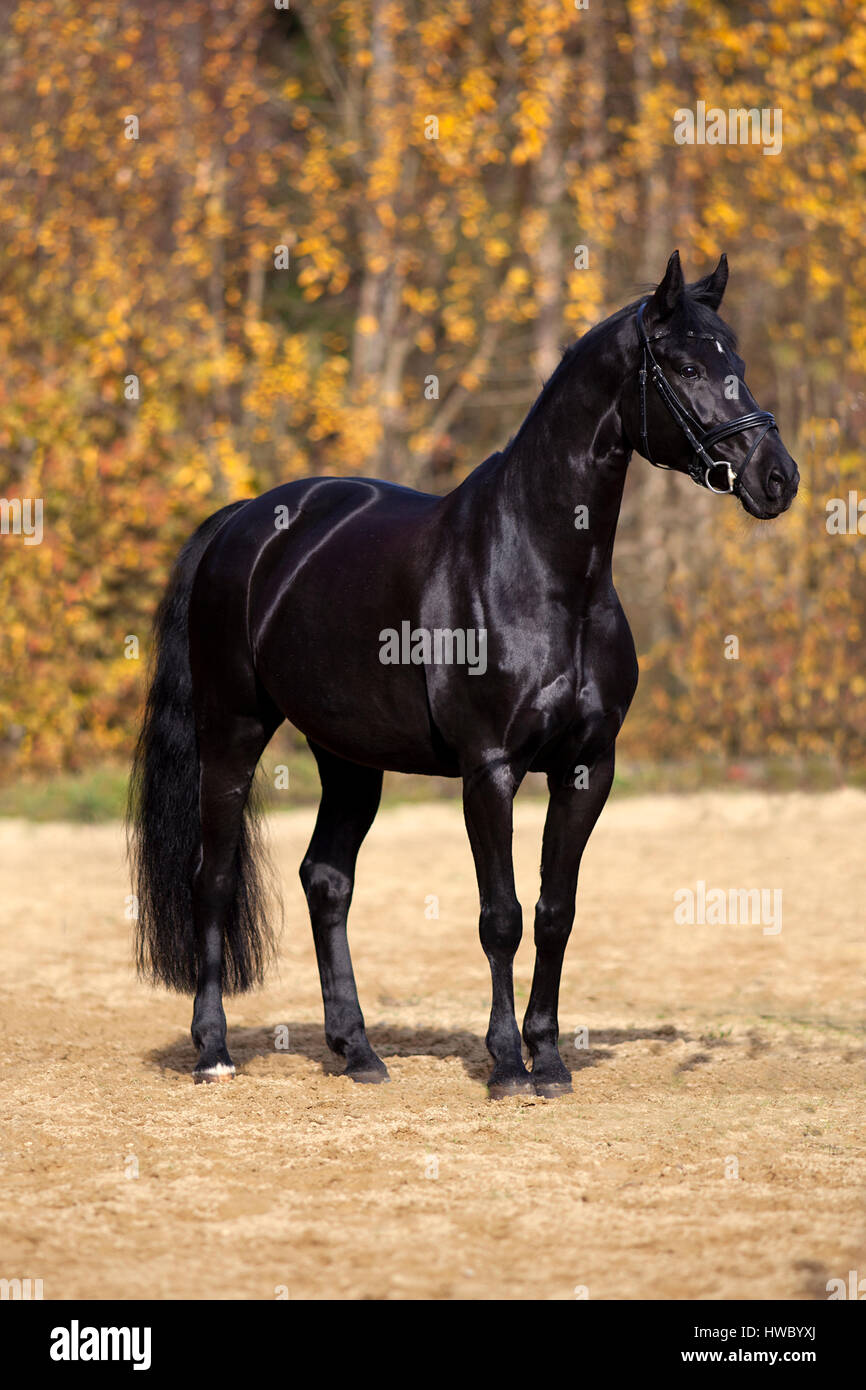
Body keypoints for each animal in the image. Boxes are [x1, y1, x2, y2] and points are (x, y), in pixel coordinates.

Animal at [129, 250, 799, 1098]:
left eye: (735, 359)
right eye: (684, 365)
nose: (778, 477)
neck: (546, 571)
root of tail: (243, 522)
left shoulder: (588, 768)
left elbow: (555, 911)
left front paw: (550, 1060)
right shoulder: (491, 770)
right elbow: (501, 917)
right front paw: (508, 1065)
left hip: (347, 756)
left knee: (327, 879)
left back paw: (358, 1050)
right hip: (233, 732)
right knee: (212, 878)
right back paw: (213, 1051)